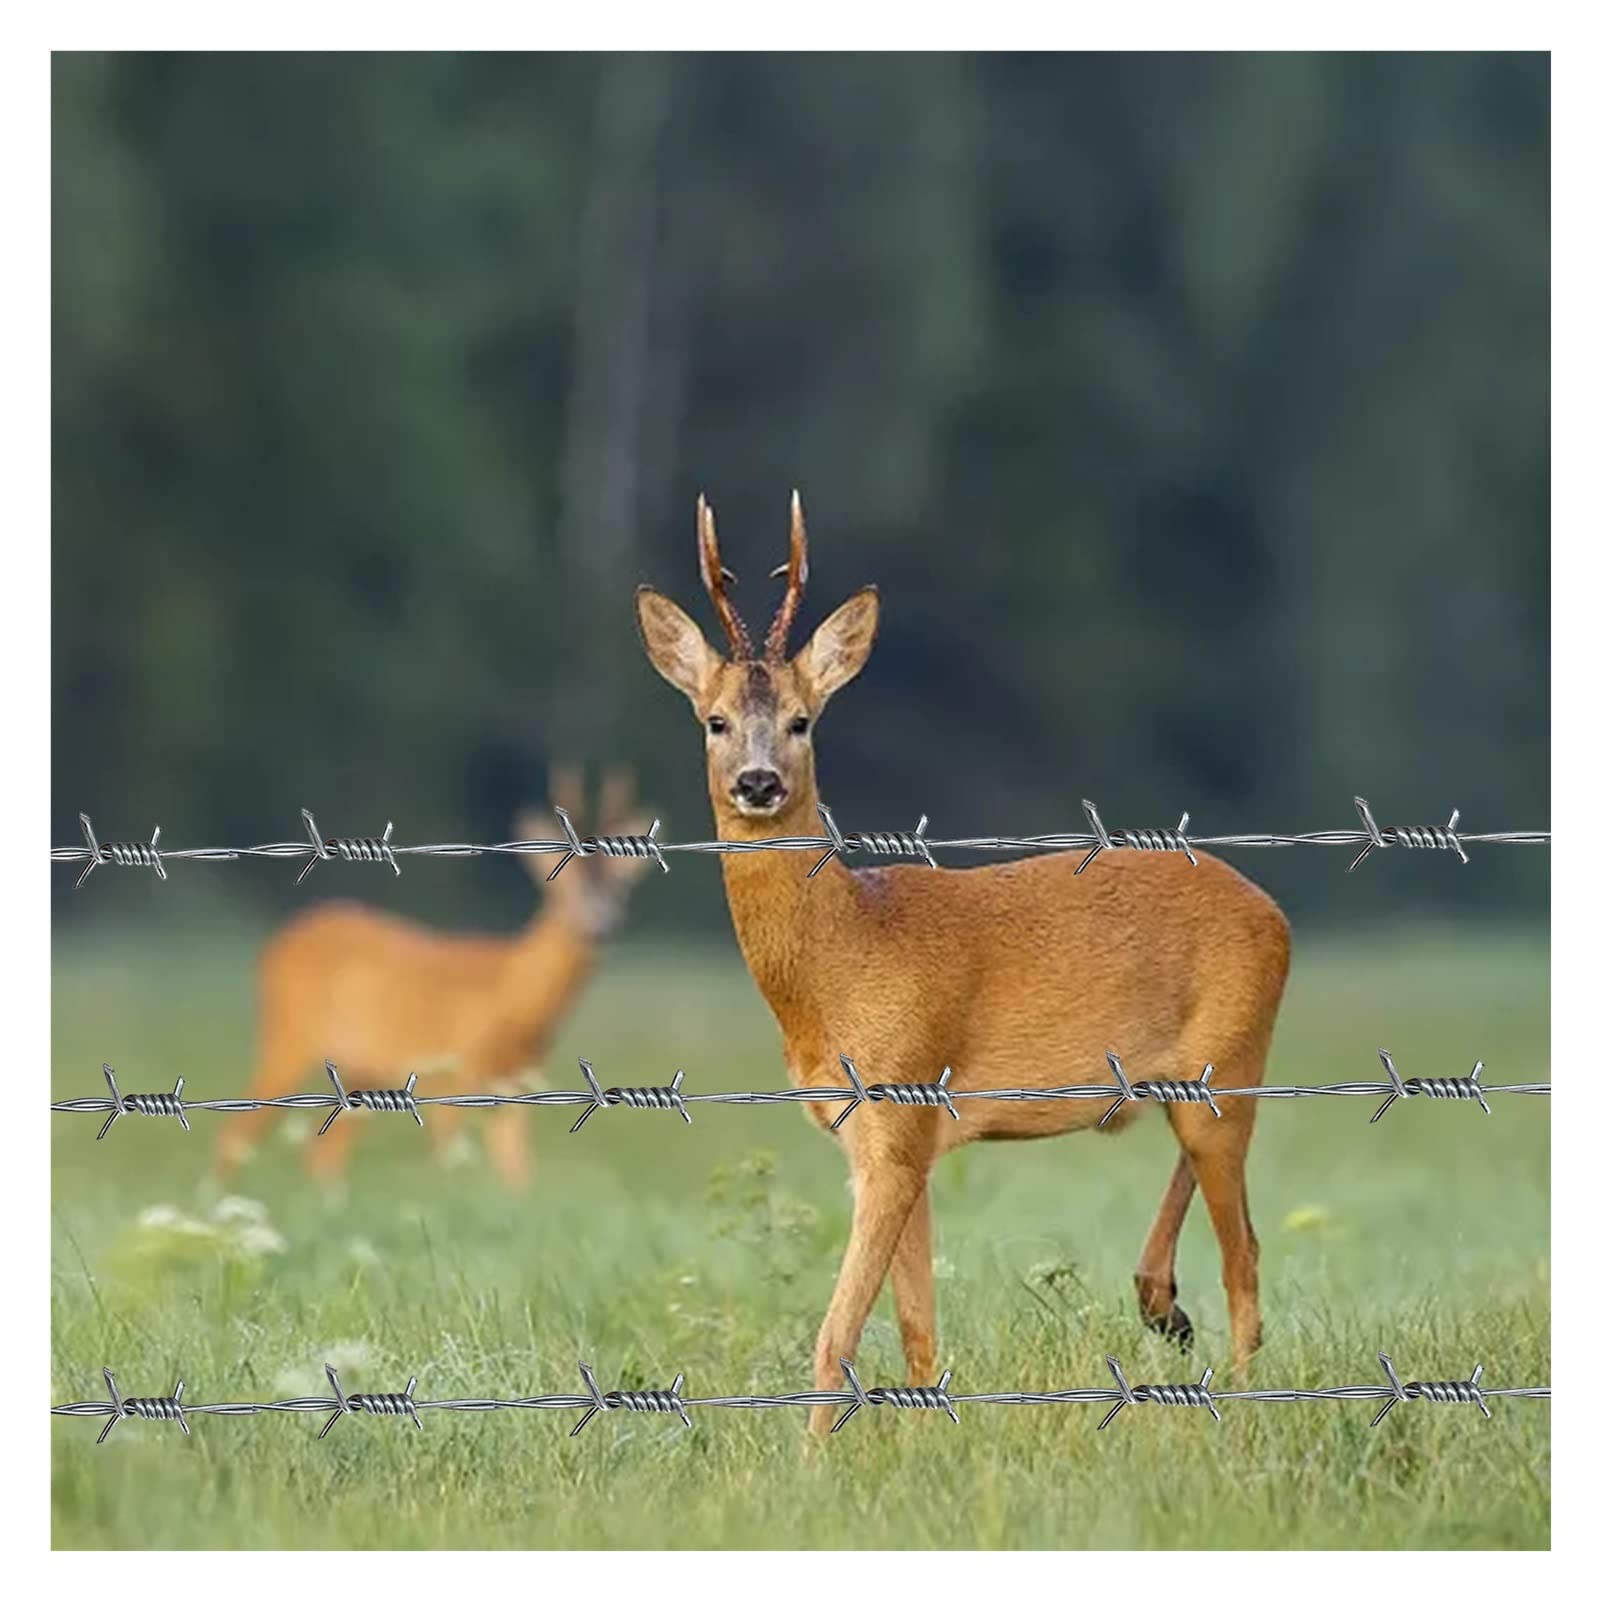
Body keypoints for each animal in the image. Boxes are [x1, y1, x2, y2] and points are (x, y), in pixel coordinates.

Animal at [213, 768, 656, 1190]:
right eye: (561, 887)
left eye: (623, 885)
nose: (600, 925)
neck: (511, 996)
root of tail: (278, 942)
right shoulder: (453, 1072)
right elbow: (450, 1160)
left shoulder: (515, 1081)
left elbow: (517, 1172)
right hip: (287, 1037)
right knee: (236, 1132)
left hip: (357, 1067)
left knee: (322, 1150)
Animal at [635, 493, 1292, 1433]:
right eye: (714, 720)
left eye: (802, 719)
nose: (757, 782)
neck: (843, 960)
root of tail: (1275, 912)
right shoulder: (876, 1133)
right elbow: (917, 1331)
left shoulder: (900, 1107)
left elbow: (835, 1336)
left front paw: (809, 1458)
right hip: (1196, 1077)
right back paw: (1159, 1301)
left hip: (1231, 1056)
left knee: (1246, 1264)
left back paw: (1228, 1397)